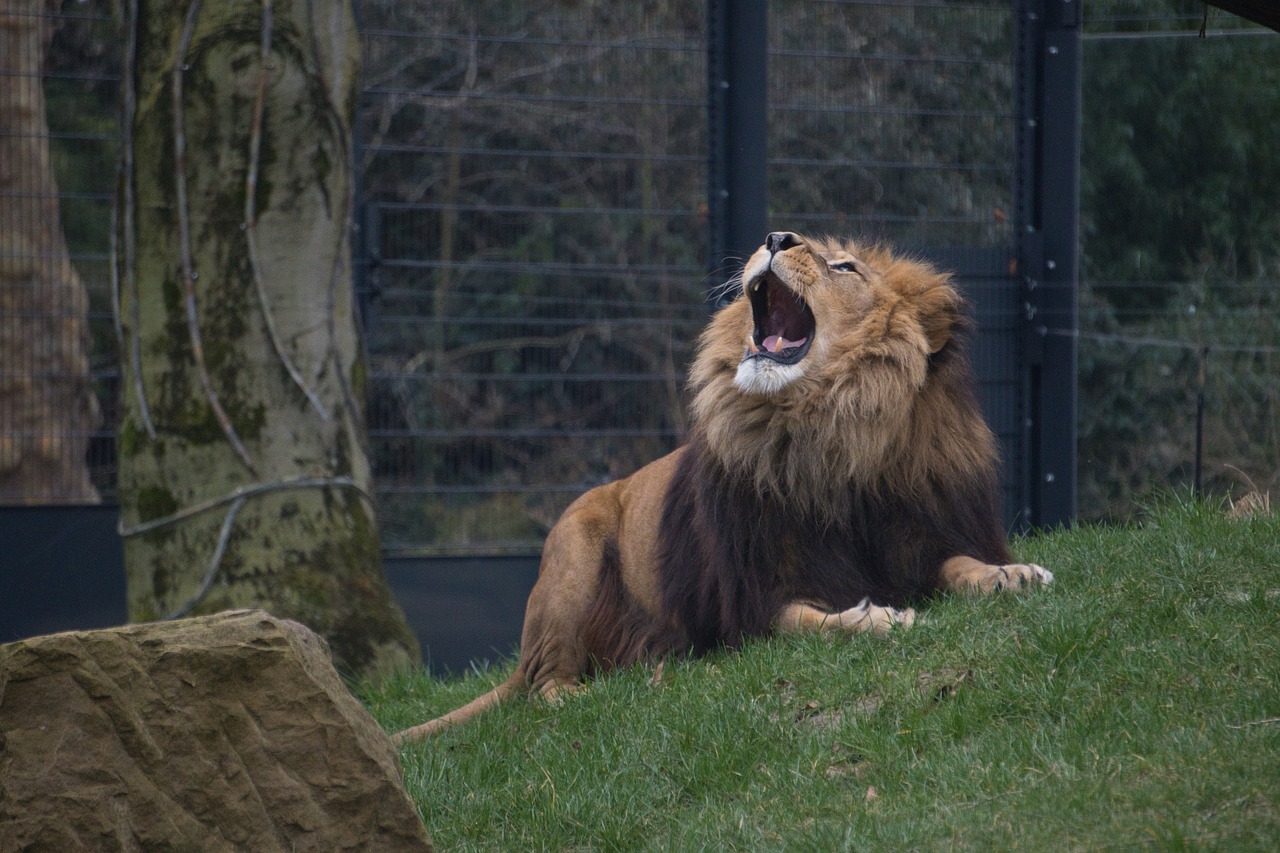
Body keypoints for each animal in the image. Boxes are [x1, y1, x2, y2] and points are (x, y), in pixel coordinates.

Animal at [393, 231, 1051, 745]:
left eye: (845, 267)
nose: (776, 238)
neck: (833, 438)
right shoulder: (752, 599)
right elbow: (804, 622)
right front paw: (873, 619)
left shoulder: (923, 533)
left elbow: (959, 563)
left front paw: (1009, 574)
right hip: (571, 553)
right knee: (544, 688)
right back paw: (605, 693)